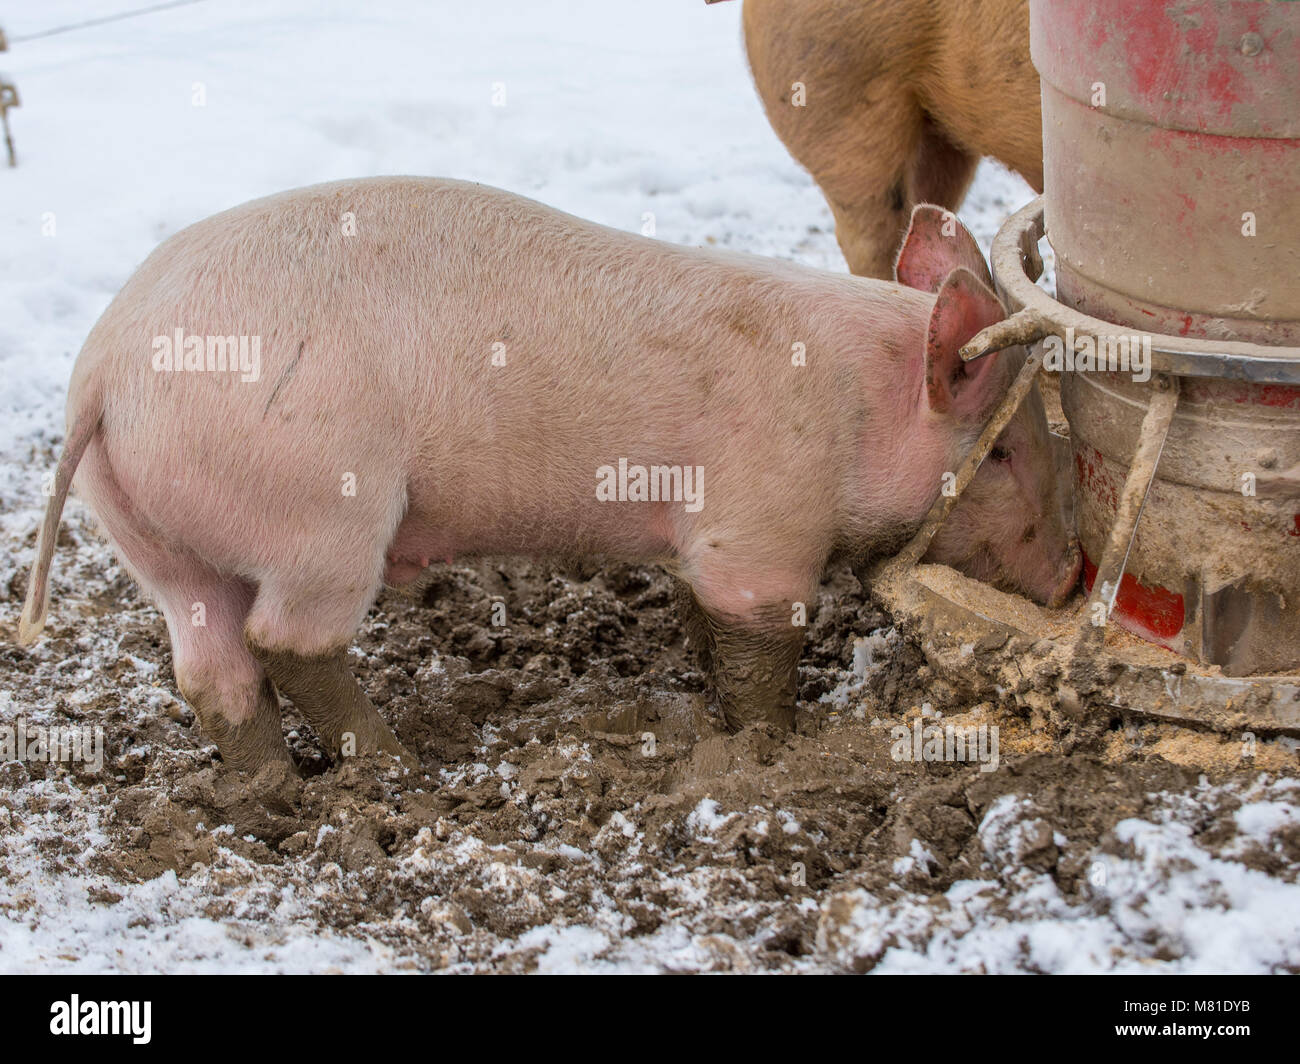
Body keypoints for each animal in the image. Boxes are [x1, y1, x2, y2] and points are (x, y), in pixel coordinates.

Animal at [19, 179, 1079, 775]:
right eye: (1006, 453)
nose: (1070, 576)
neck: (855, 402)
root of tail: (105, 370)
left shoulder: (698, 543)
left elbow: (703, 624)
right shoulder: (761, 525)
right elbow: (759, 641)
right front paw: (772, 745)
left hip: (151, 536)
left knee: (210, 667)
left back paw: (267, 798)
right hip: (321, 509)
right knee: (288, 641)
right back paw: (401, 773)